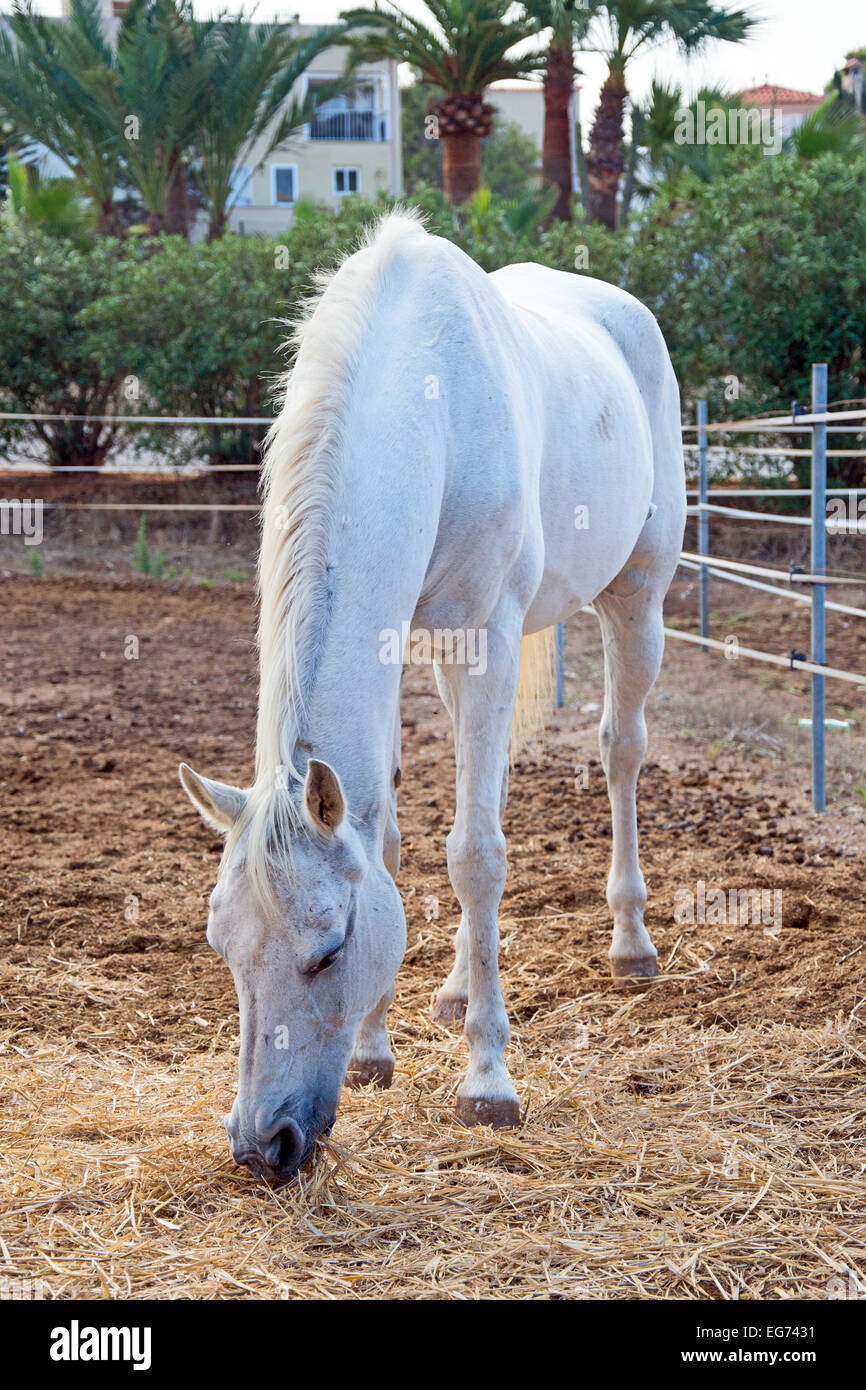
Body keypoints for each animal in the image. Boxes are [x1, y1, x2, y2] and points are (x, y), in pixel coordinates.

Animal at [179, 210, 686, 1182]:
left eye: (329, 948)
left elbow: (476, 855)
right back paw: (454, 987)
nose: (263, 1145)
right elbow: (395, 843)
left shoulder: (484, 639)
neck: (429, 402)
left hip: (635, 599)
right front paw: (377, 1052)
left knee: (622, 751)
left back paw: (630, 944)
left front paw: (487, 1081)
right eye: (222, 946)